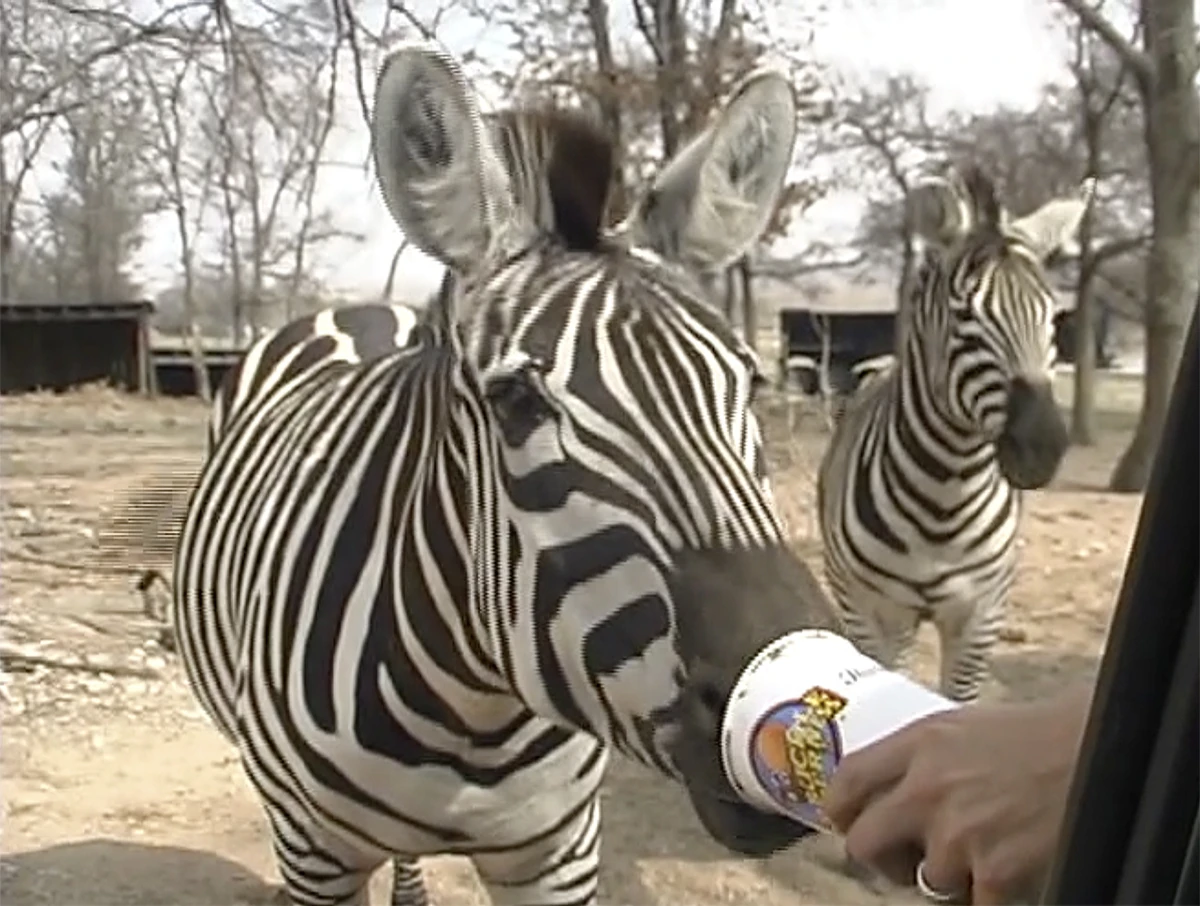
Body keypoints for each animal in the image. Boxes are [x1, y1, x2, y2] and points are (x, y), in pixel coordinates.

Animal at [173, 40, 834, 906]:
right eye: (515, 403)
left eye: (748, 385)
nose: (781, 705)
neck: (471, 717)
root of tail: (359, 311)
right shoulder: (318, 855)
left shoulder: (558, 852)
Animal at [817, 162, 1094, 704]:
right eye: (964, 315)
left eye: (1053, 317)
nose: (1042, 449)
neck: (942, 499)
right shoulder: (879, 615)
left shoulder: (980, 619)